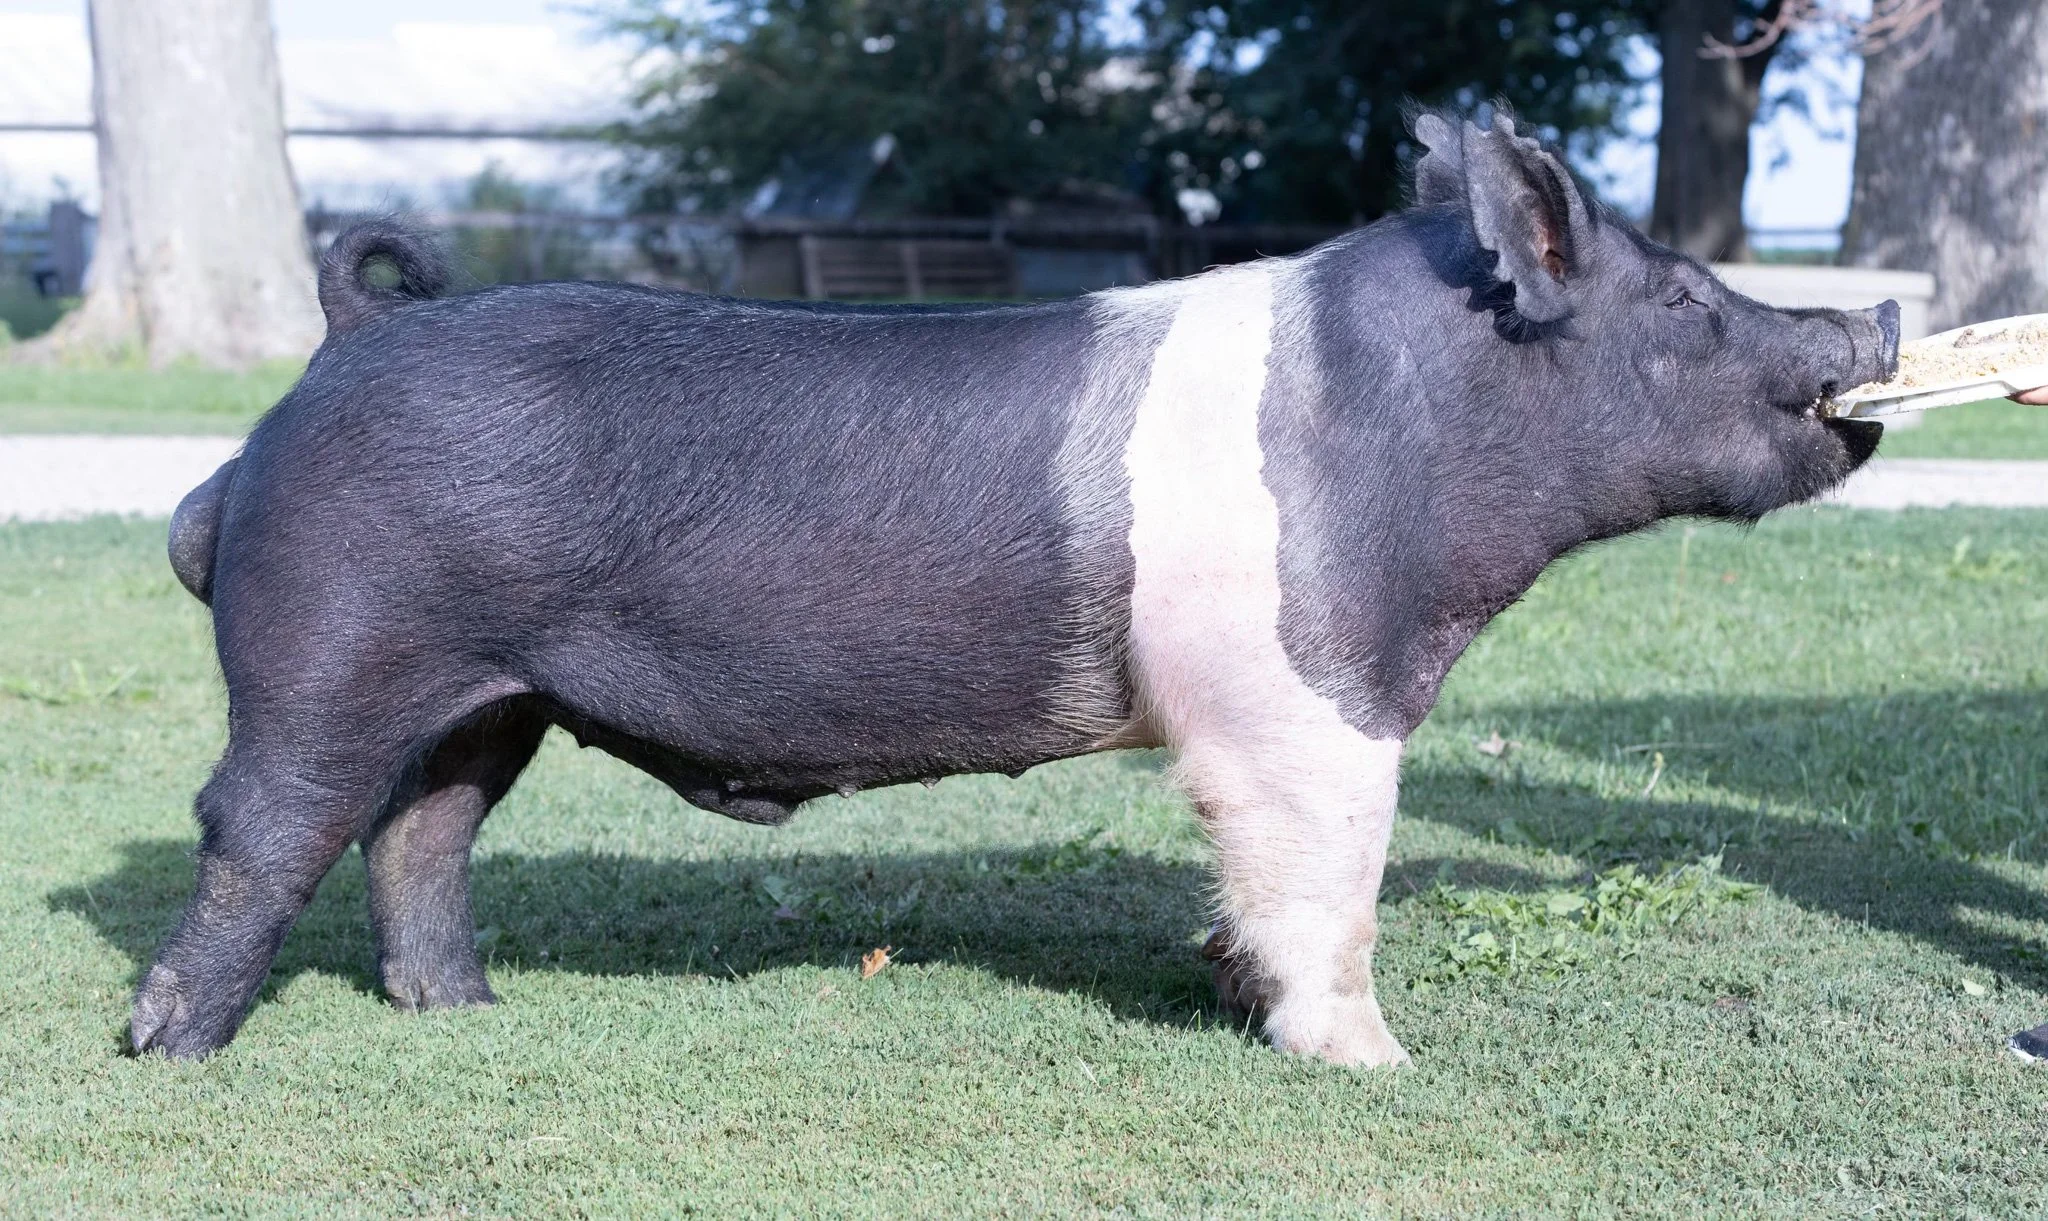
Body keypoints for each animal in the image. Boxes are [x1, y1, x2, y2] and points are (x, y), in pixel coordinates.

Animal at [133, 111, 1897, 1063]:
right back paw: (168, 1047)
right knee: (262, 825)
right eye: (1684, 300)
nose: (1868, 315)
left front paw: (1233, 990)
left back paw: (464, 1013)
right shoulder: (1311, 695)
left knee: (417, 831)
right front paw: (1373, 1061)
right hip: (332, 644)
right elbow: (1334, 874)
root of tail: (348, 347)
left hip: (489, 696)